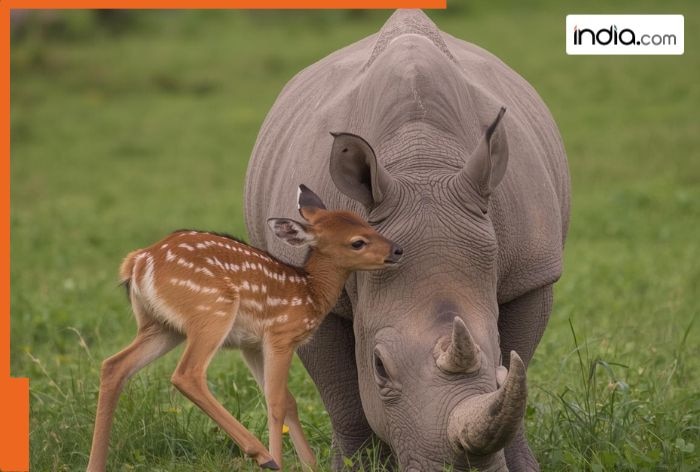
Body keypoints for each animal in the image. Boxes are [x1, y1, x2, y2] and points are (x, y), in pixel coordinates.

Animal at [86, 185, 403, 472]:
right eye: (357, 242)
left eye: (367, 222)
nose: (397, 249)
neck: (310, 292)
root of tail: (138, 262)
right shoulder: (281, 334)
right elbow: (276, 401)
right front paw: (283, 461)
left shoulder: (251, 345)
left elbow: (288, 401)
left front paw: (311, 464)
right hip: (212, 311)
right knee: (187, 374)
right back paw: (263, 455)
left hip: (161, 326)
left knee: (114, 365)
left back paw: (95, 465)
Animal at [245, 9, 569, 471]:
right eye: (380, 368)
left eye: (495, 355)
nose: (455, 470)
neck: (422, 164)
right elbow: (343, 396)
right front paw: (355, 466)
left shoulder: (531, 272)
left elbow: (518, 360)